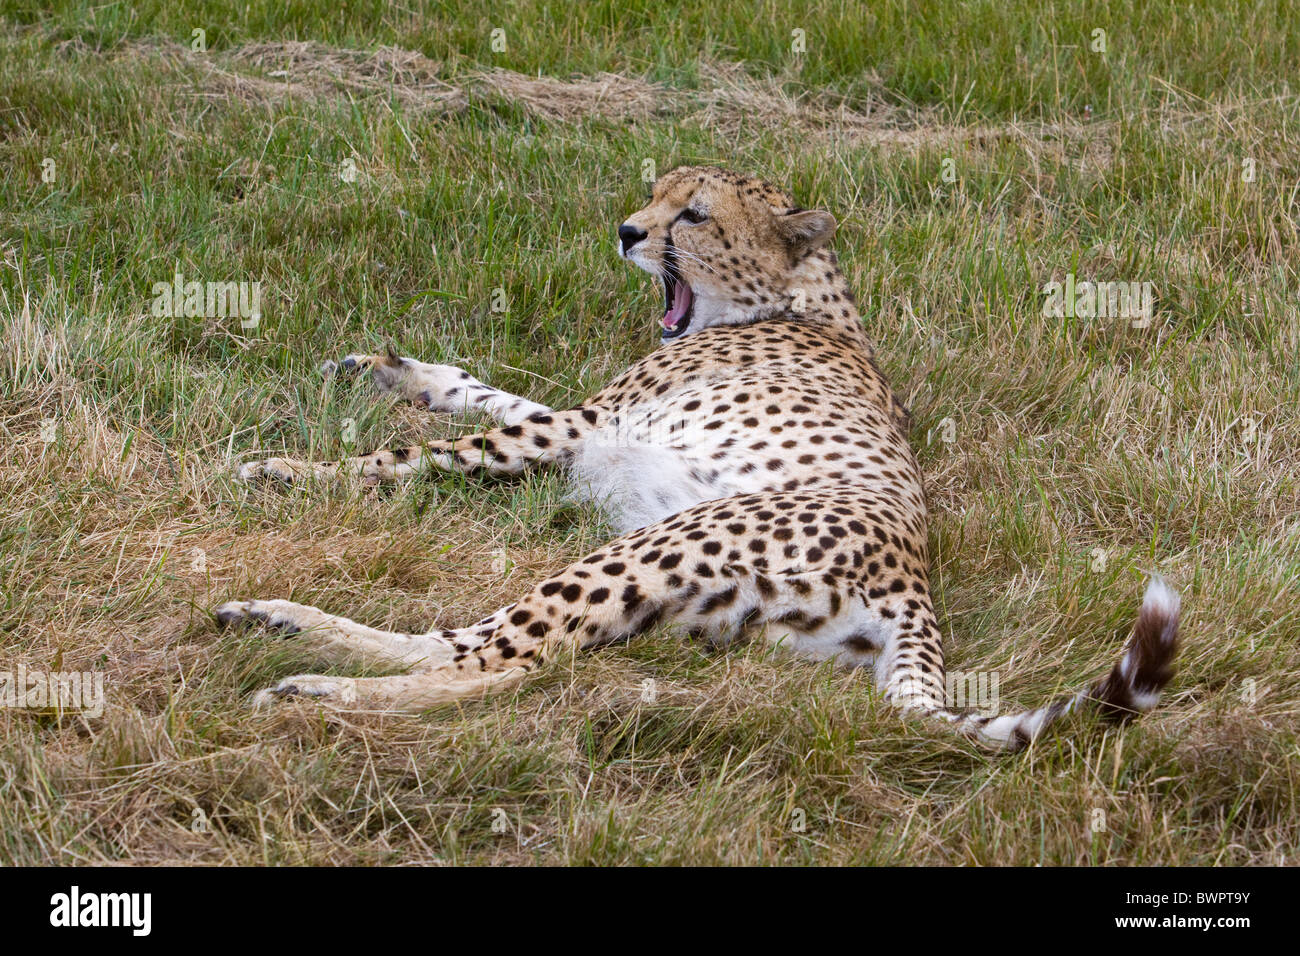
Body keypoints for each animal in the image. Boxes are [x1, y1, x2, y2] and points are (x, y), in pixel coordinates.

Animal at [219, 165, 1181, 750]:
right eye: (653, 193)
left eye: (693, 214)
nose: (624, 232)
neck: (795, 298)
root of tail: (913, 577)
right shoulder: (586, 424)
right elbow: (481, 390)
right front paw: (388, 369)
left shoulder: (579, 428)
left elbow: (431, 451)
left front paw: (291, 471)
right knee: (460, 643)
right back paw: (280, 621)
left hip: (645, 550)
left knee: (507, 665)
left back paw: (313, 691)